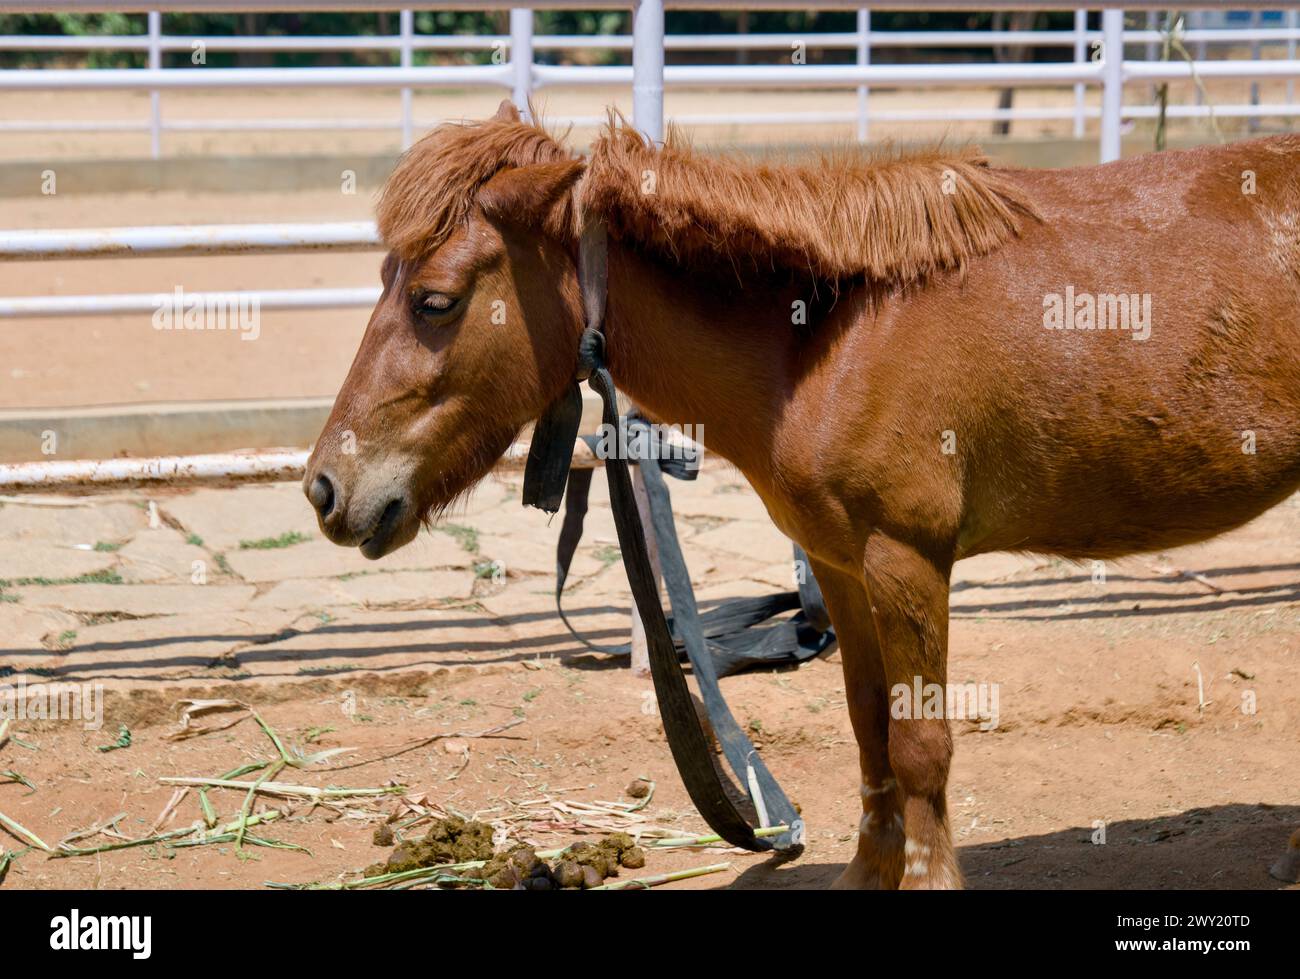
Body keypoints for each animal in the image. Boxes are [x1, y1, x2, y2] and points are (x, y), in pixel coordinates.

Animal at [305, 100, 1300, 889]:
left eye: (434, 301)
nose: (324, 487)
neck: (830, 334)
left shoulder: (907, 560)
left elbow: (921, 743)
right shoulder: (842, 565)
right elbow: (869, 730)